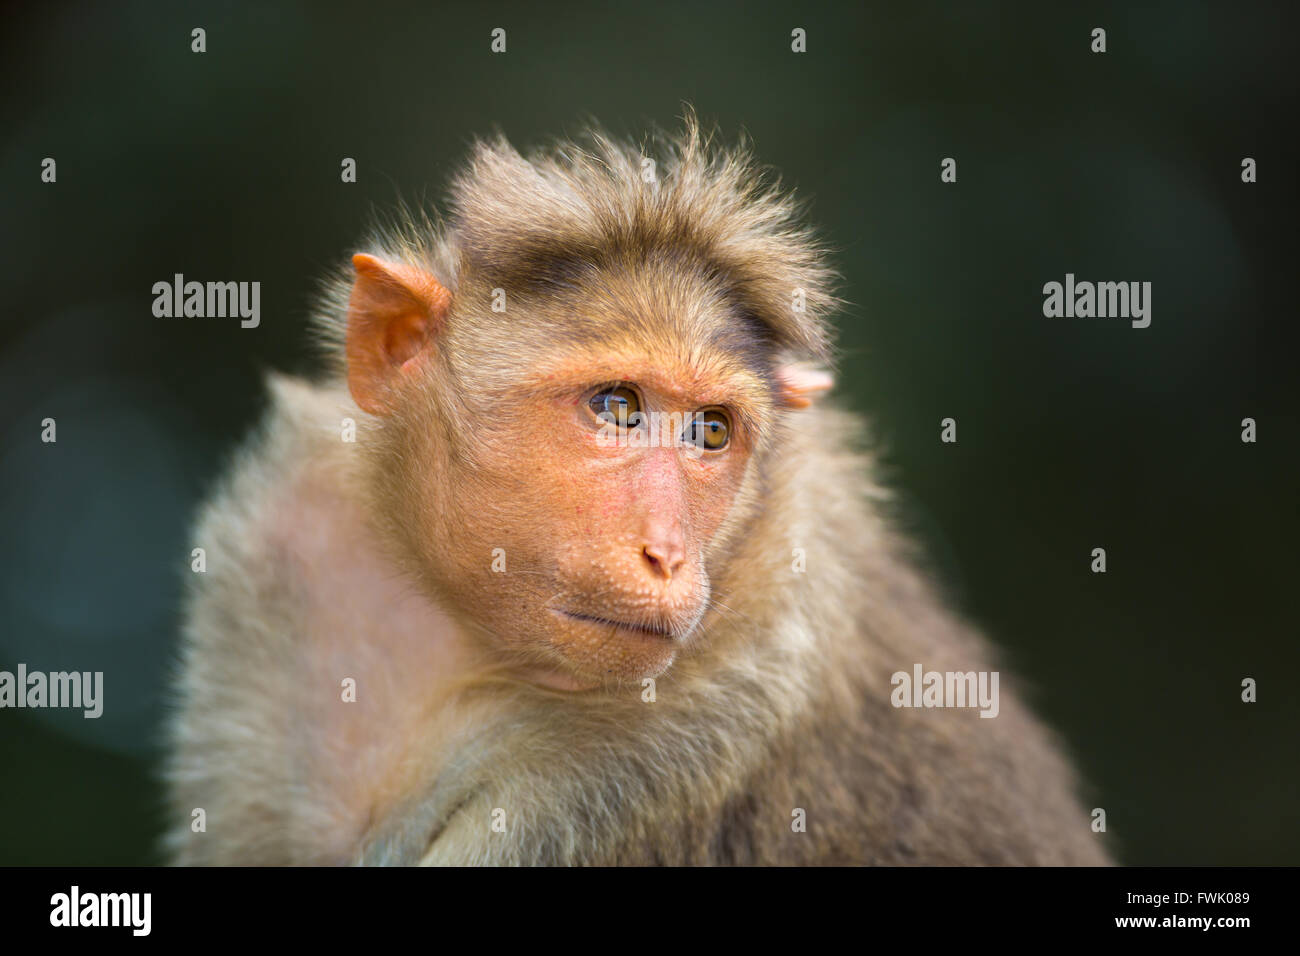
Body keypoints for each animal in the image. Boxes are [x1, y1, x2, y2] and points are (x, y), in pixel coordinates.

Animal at [165, 114, 1112, 866]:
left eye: (711, 432)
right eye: (617, 408)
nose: (668, 553)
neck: (466, 635)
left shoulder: (674, 740)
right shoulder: (288, 555)